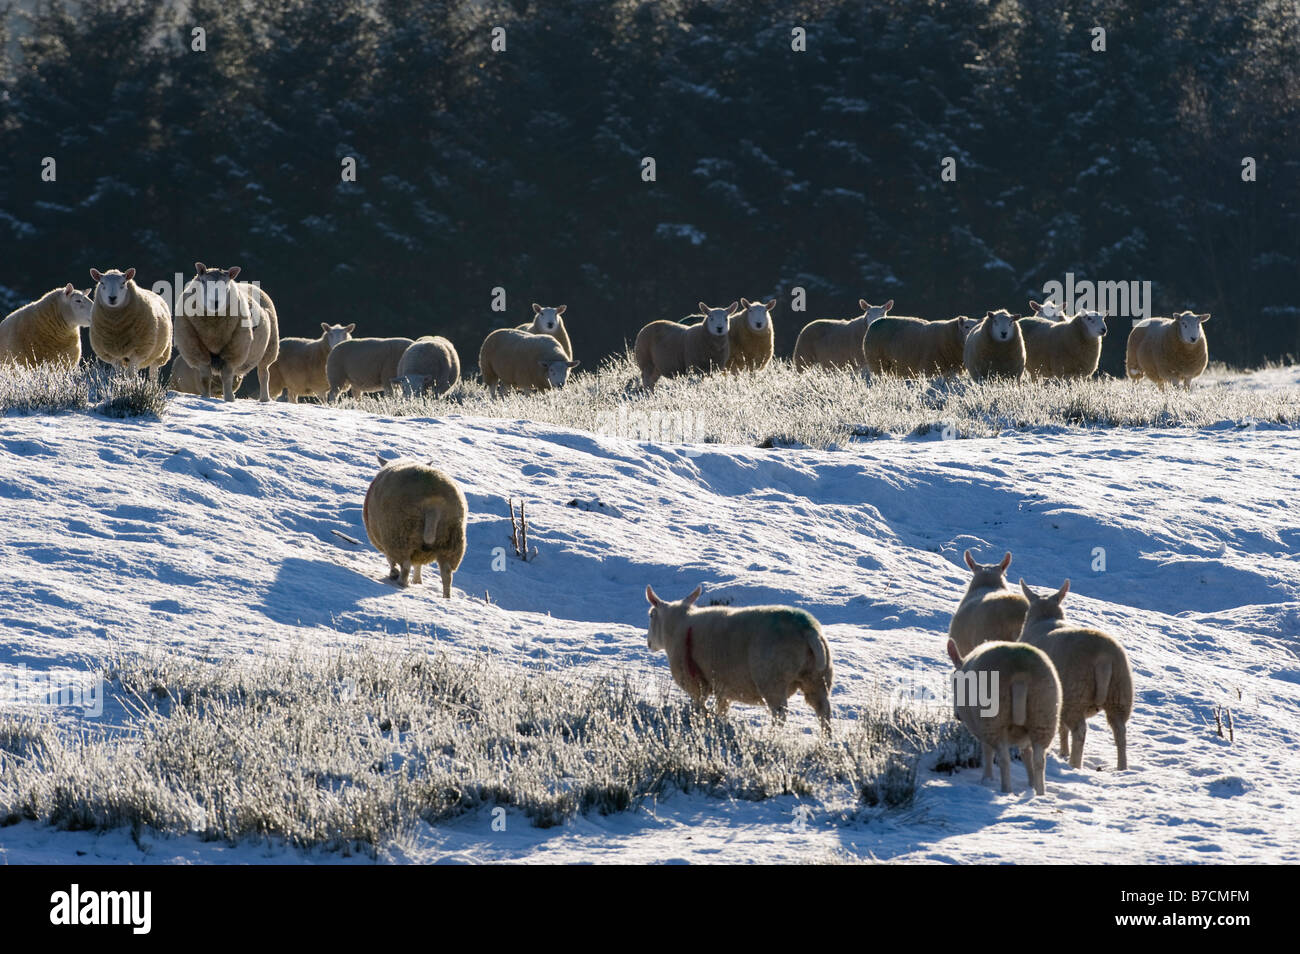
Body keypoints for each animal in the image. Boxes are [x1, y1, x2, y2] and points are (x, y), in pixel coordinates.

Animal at [173, 263, 281, 401]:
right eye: (203, 281)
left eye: (226, 284)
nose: (215, 302)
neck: (213, 329)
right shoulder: (196, 348)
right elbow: (205, 378)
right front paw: (205, 397)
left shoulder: (232, 350)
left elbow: (227, 377)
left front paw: (229, 399)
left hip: (270, 348)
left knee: (263, 374)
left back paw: (264, 398)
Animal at [363, 455, 467, 598]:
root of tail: (433, 504)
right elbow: (418, 565)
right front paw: (417, 581)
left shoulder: (384, 537)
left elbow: (391, 560)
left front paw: (394, 573)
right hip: (451, 540)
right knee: (447, 574)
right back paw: (446, 597)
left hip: (400, 533)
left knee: (405, 566)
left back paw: (401, 583)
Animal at [644, 584, 833, 732]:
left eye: (651, 615)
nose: (649, 643)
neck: (678, 627)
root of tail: (808, 630)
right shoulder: (722, 688)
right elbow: (721, 710)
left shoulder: (696, 684)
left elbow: (698, 707)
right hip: (817, 677)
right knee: (823, 711)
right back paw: (825, 742)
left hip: (772, 680)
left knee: (780, 714)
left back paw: (772, 738)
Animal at [946, 638, 1061, 795]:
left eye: (953, 682)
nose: (956, 715)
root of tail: (1020, 674)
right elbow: (1026, 754)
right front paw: (1031, 783)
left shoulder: (981, 728)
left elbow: (987, 752)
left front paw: (987, 779)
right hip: (1043, 714)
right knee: (1039, 760)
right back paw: (1040, 793)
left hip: (993, 720)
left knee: (1004, 759)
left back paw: (1006, 791)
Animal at [1018, 579, 1134, 771]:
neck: (1044, 619)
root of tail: (1103, 657)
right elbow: (1061, 728)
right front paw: (1063, 752)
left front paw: (1064, 753)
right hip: (1119, 692)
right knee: (1120, 731)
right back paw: (1122, 768)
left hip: (1075, 693)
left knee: (1080, 731)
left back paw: (1074, 764)